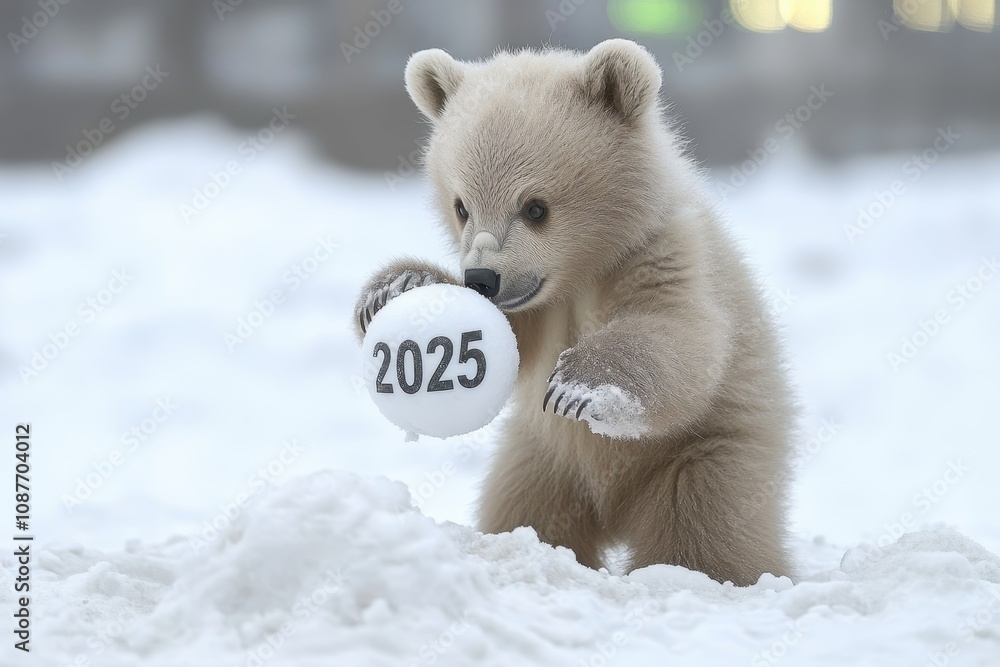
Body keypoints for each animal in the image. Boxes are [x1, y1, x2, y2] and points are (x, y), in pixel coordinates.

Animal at [354, 39, 794, 586]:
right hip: (544, 460)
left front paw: (577, 385)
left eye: (535, 207)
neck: (586, 268)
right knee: (524, 510)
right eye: (461, 206)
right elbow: (517, 341)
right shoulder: (542, 306)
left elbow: (680, 334)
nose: (482, 279)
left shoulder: (664, 252)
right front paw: (396, 287)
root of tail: (616, 509)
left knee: (704, 530)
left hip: (711, 453)